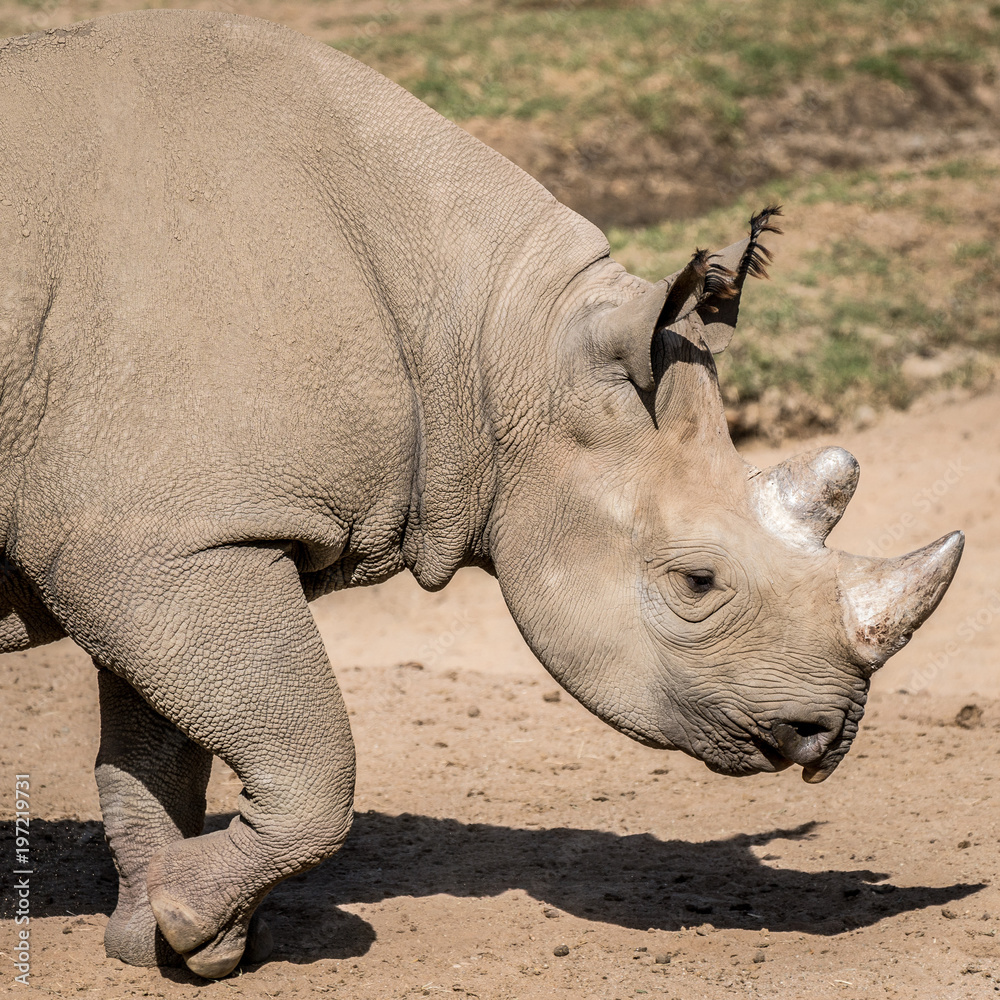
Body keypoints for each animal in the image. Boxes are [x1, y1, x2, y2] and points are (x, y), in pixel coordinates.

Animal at [0, 9, 962, 979]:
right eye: (697, 583)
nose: (829, 735)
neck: (494, 340)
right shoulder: (156, 544)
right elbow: (315, 763)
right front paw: (191, 920)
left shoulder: (178, 531)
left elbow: (158, 752)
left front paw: (170, 939)